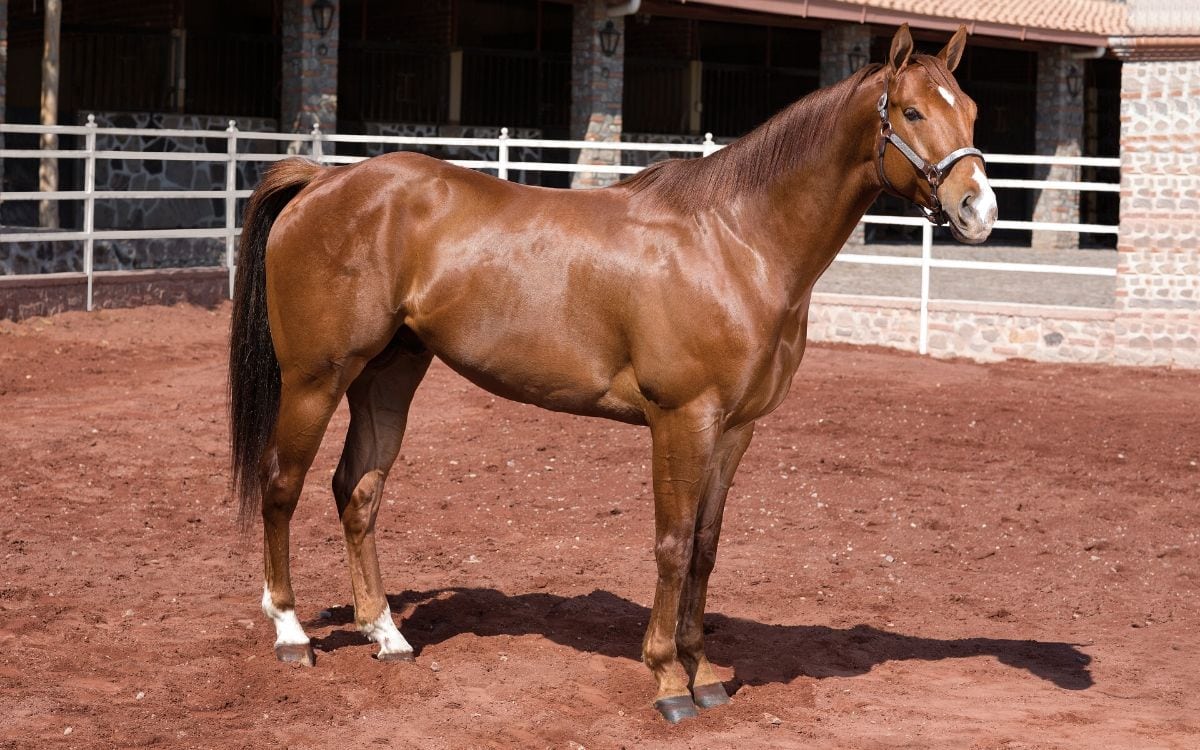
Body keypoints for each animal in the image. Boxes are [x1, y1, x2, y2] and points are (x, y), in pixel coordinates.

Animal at [228, 24, 996, 723]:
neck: (734, 241)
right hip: (315, 379)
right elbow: (672, 545)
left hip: (388, 375)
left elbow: (705, 550)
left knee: (357, 491)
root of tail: (325, 180)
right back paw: (291, 633)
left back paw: (386, 633)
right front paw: (668, 681)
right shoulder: (681, 419)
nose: (978, 209)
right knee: (282, 485)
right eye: (912, 113)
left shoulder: (735, 430)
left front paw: (705, 675)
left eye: (971, 110)